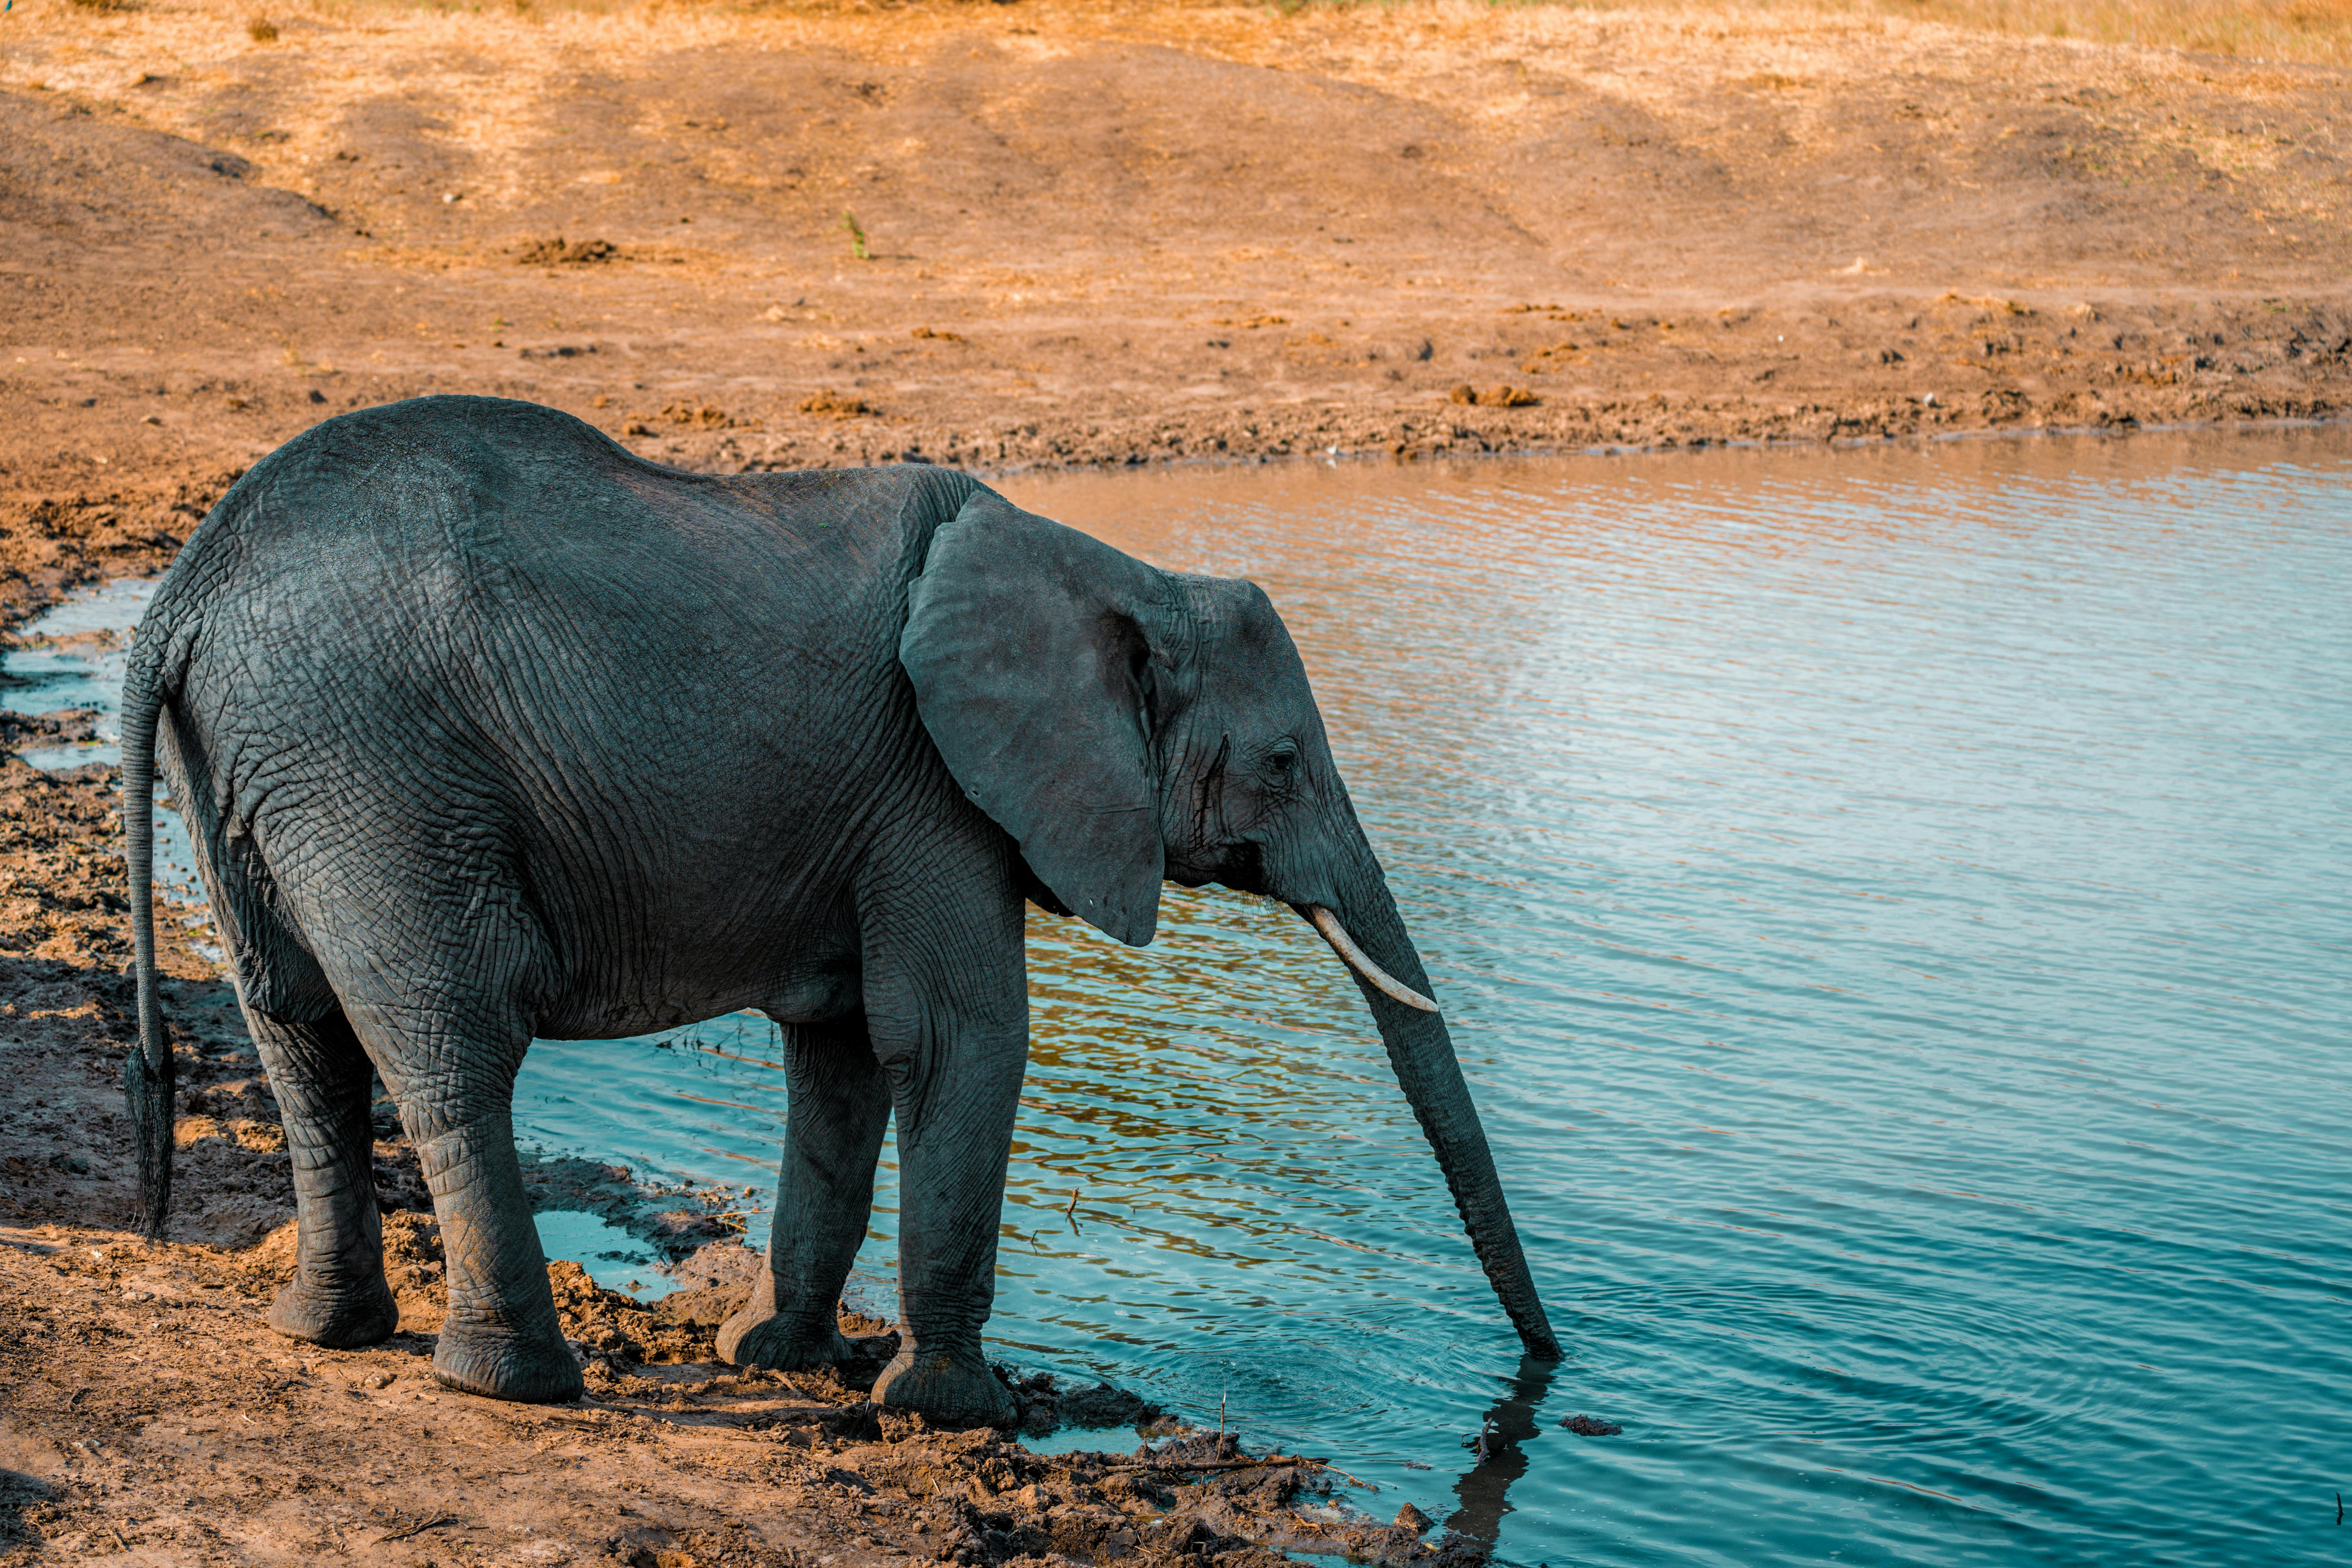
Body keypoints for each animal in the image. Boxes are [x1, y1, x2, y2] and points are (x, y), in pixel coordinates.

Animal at [119, 394, 1558, 1425]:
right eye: (1284, 763)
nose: (1547, 1370)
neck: (1118, 574)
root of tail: (179, 598)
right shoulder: (934, 788)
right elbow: (966, 1040)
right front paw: (956, 1413)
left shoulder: (882, 809)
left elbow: (851, 1053)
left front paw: (779, 1357)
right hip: (378, 775)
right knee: (452, 1044)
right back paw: (518, 1386)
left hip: (263, 769)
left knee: (300, 1037)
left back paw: (328, 1335)